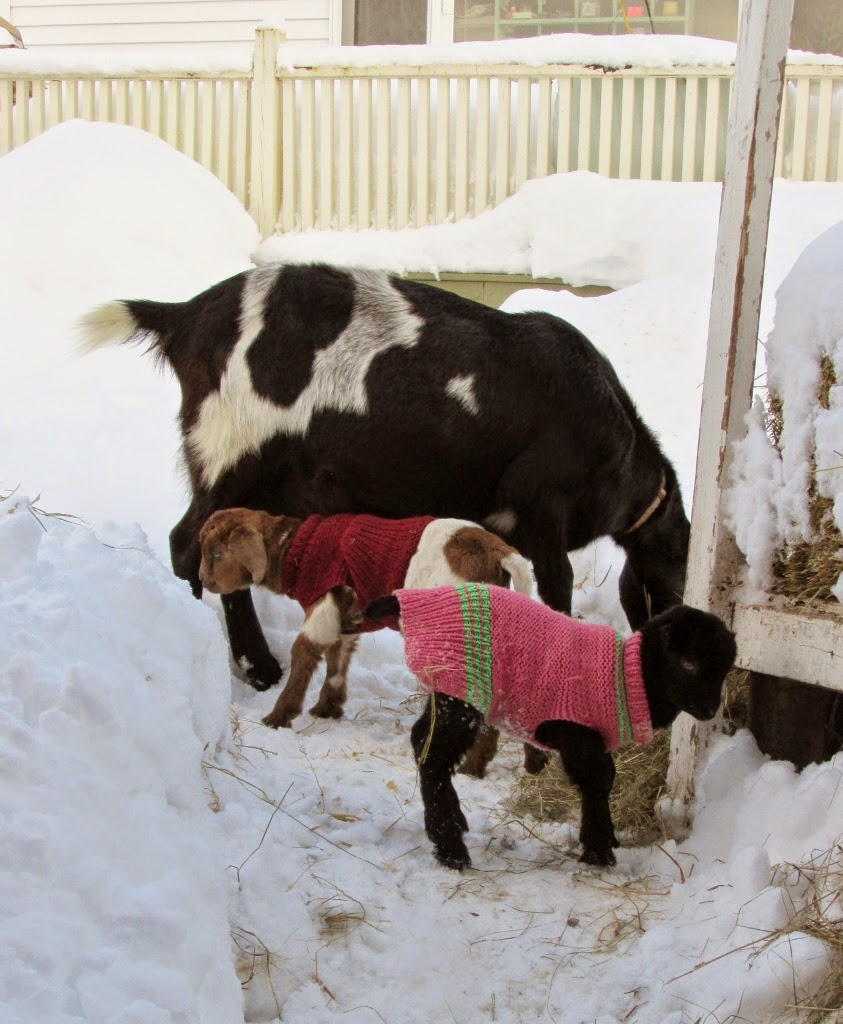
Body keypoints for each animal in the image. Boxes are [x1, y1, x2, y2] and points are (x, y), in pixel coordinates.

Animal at [78, 263, 689, 692]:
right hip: (233, 452)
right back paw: (242, 657)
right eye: (679, 559)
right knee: (189, 542)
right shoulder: (542, 509)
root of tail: (187, 315)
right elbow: (557, 587)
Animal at [198, 508, 544, 781]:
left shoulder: (324, 602)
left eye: (216, 554)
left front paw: (277, 717)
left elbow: (305, 652)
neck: (292, 549)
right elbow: (338, 655)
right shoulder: (348, 615)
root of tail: (500, 553)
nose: (203, 580)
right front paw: (327, 708)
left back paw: (470, 764)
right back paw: (522, 764)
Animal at [365, 586, 736, 870]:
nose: (710, 709)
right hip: (461, 695)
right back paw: (452, 849)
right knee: (434, 757)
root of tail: (412, 599)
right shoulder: (576, 731)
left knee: (422, 743)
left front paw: (604, 841)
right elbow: (600, 781)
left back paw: (452, 825)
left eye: (726, 669)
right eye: (688, 663)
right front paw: (599, 850)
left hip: (448, 692)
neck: (630, 676)